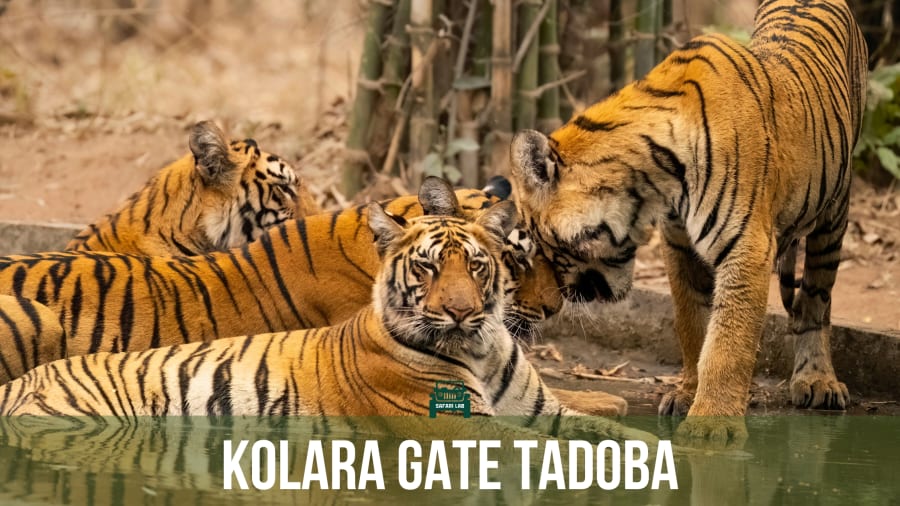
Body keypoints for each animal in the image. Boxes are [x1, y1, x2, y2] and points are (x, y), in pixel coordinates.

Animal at [508, 0, 867, 442]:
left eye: (539, 244)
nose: (554, 305)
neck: (653, 182)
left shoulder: (747, 248)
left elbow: (727, 343)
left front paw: (711, 423)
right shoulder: (679, 244)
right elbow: (693, 324)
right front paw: (687, 395)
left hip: (834, 214)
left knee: (817, 300)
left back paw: (817, 380)